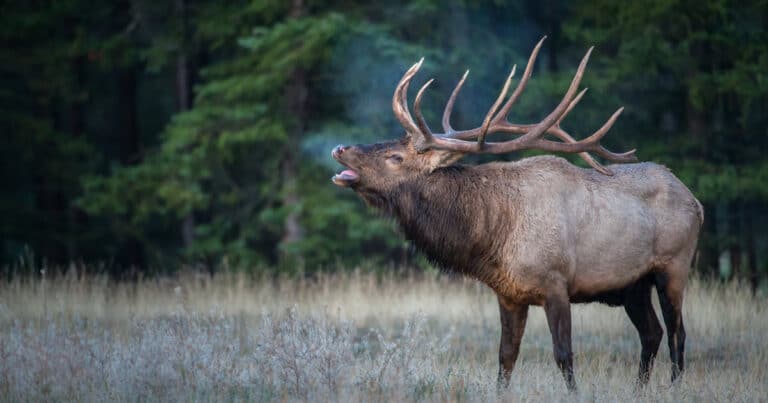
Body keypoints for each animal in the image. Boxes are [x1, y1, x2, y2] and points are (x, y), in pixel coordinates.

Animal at [330, 37, 703, 391]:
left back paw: (673, 387)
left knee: (677, 334)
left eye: (394, 157)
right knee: (652, 333)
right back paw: (640, 388)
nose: (339, 147)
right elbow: (505, 356)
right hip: (633, 285)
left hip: (673, 266)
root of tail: (695, 202)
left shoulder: (556, 282)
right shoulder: (508, 294)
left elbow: (564, 355)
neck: (494, 235)